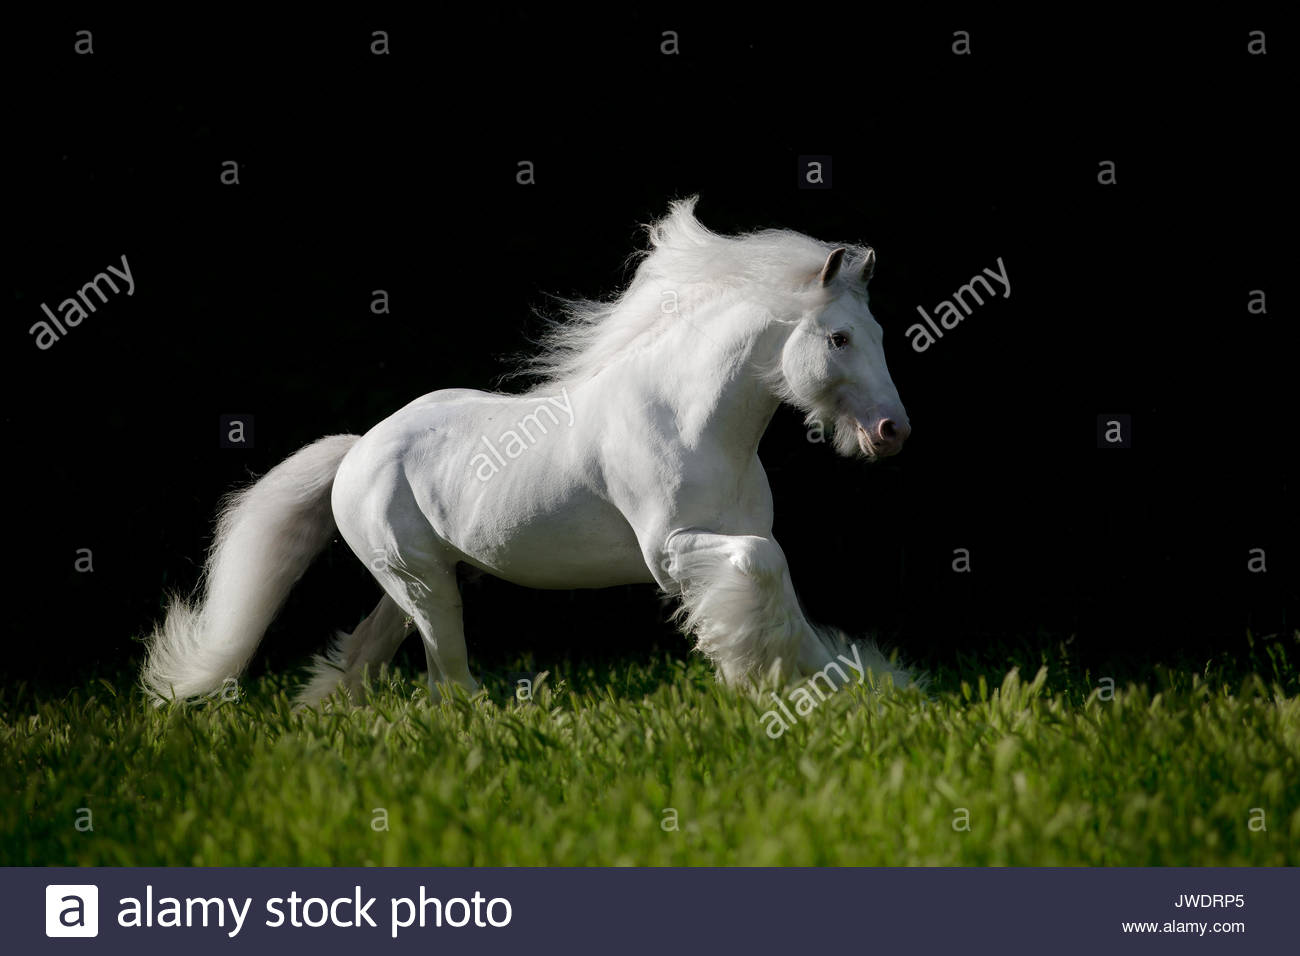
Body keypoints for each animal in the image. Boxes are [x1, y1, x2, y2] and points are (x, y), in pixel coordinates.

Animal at [141, 197, 920, 707]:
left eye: (879, 333)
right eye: (840, 338)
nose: (893, 432)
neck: (692, 423)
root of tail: (360, 448)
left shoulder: (728, 541)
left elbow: (777, 586)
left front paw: (850, 688)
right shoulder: (671, 553)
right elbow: (765, 570)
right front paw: (786, 684)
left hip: (416, 577)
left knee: (364, 658)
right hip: (425, 583)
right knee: (446, 679)